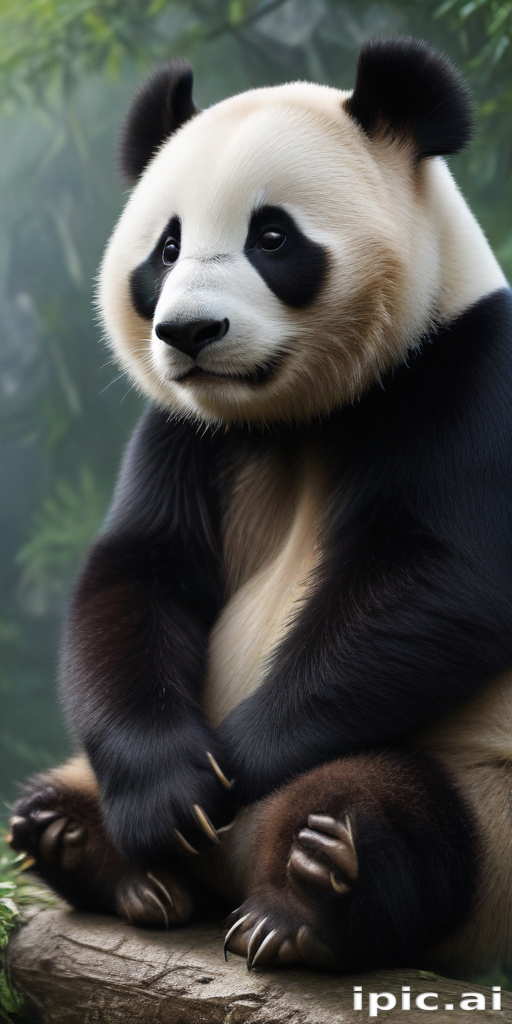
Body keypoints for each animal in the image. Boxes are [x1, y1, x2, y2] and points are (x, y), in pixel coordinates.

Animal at [10, 36, 512, 976]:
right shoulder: (183, 431)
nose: (189, 334)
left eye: (272, 236)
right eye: (167, 248)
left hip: (487, 807)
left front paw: (234, 765)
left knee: (393, 812)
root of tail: (231, 878)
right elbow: (137, 571)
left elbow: (442, 579)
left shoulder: (472, 373)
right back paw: (91, 849)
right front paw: (170, 798)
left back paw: (317, 887)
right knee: (52, 796)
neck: (298, 414)